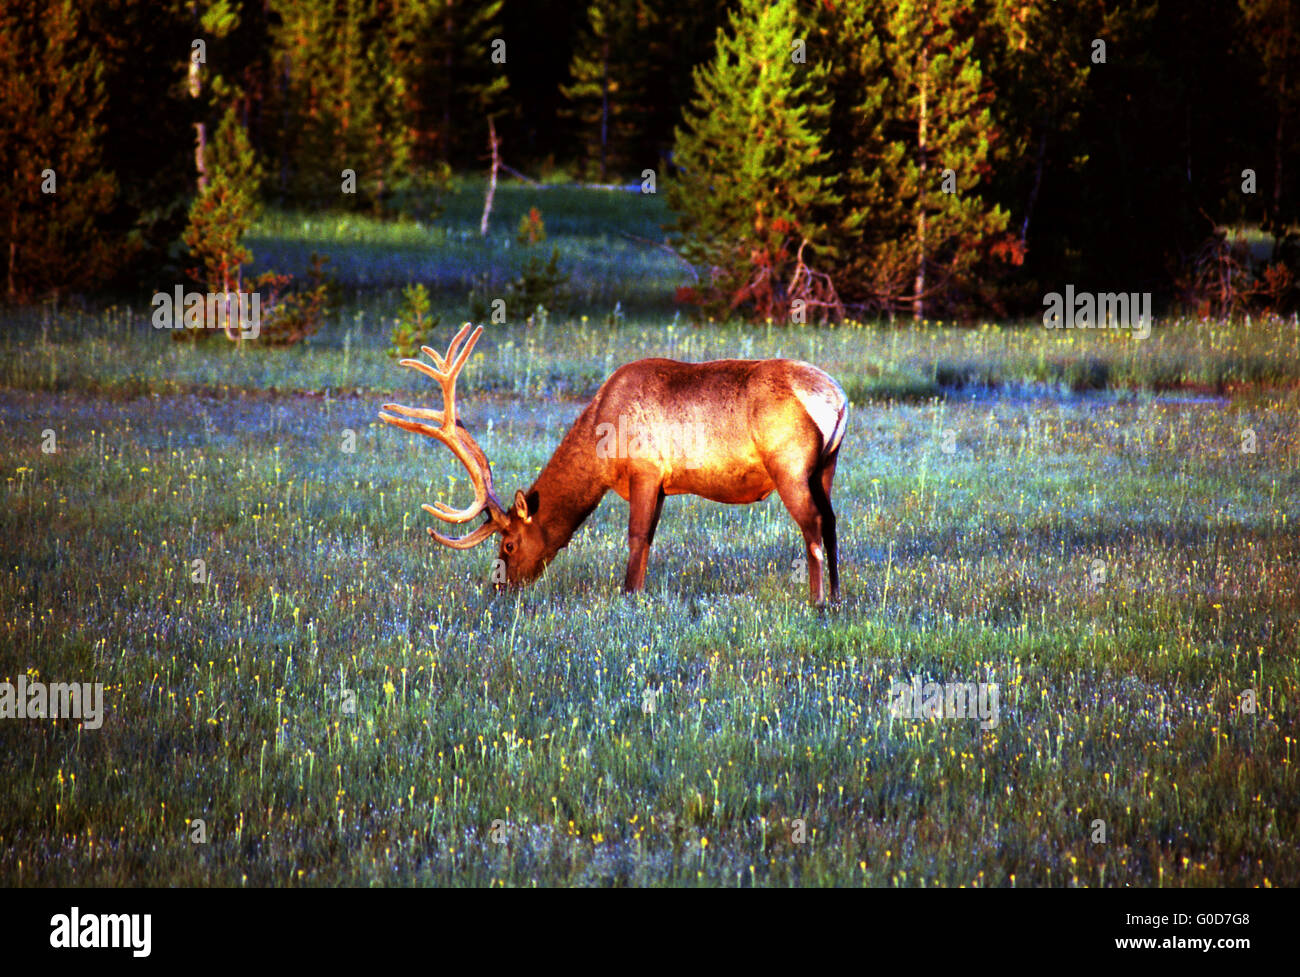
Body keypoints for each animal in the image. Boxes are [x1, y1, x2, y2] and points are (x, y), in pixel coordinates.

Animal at [379, 324, 848, 604]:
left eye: (508, 544)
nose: (499, 586)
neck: (600, 443)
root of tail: (838, 398)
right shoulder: (661, 484)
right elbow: (649, 537)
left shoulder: (645, 470)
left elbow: (637, 536)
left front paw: (629, 596)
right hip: (826, 465)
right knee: (831, 521)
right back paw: (839, 597)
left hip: (789, 464)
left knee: (811, 525)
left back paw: (817, 600)